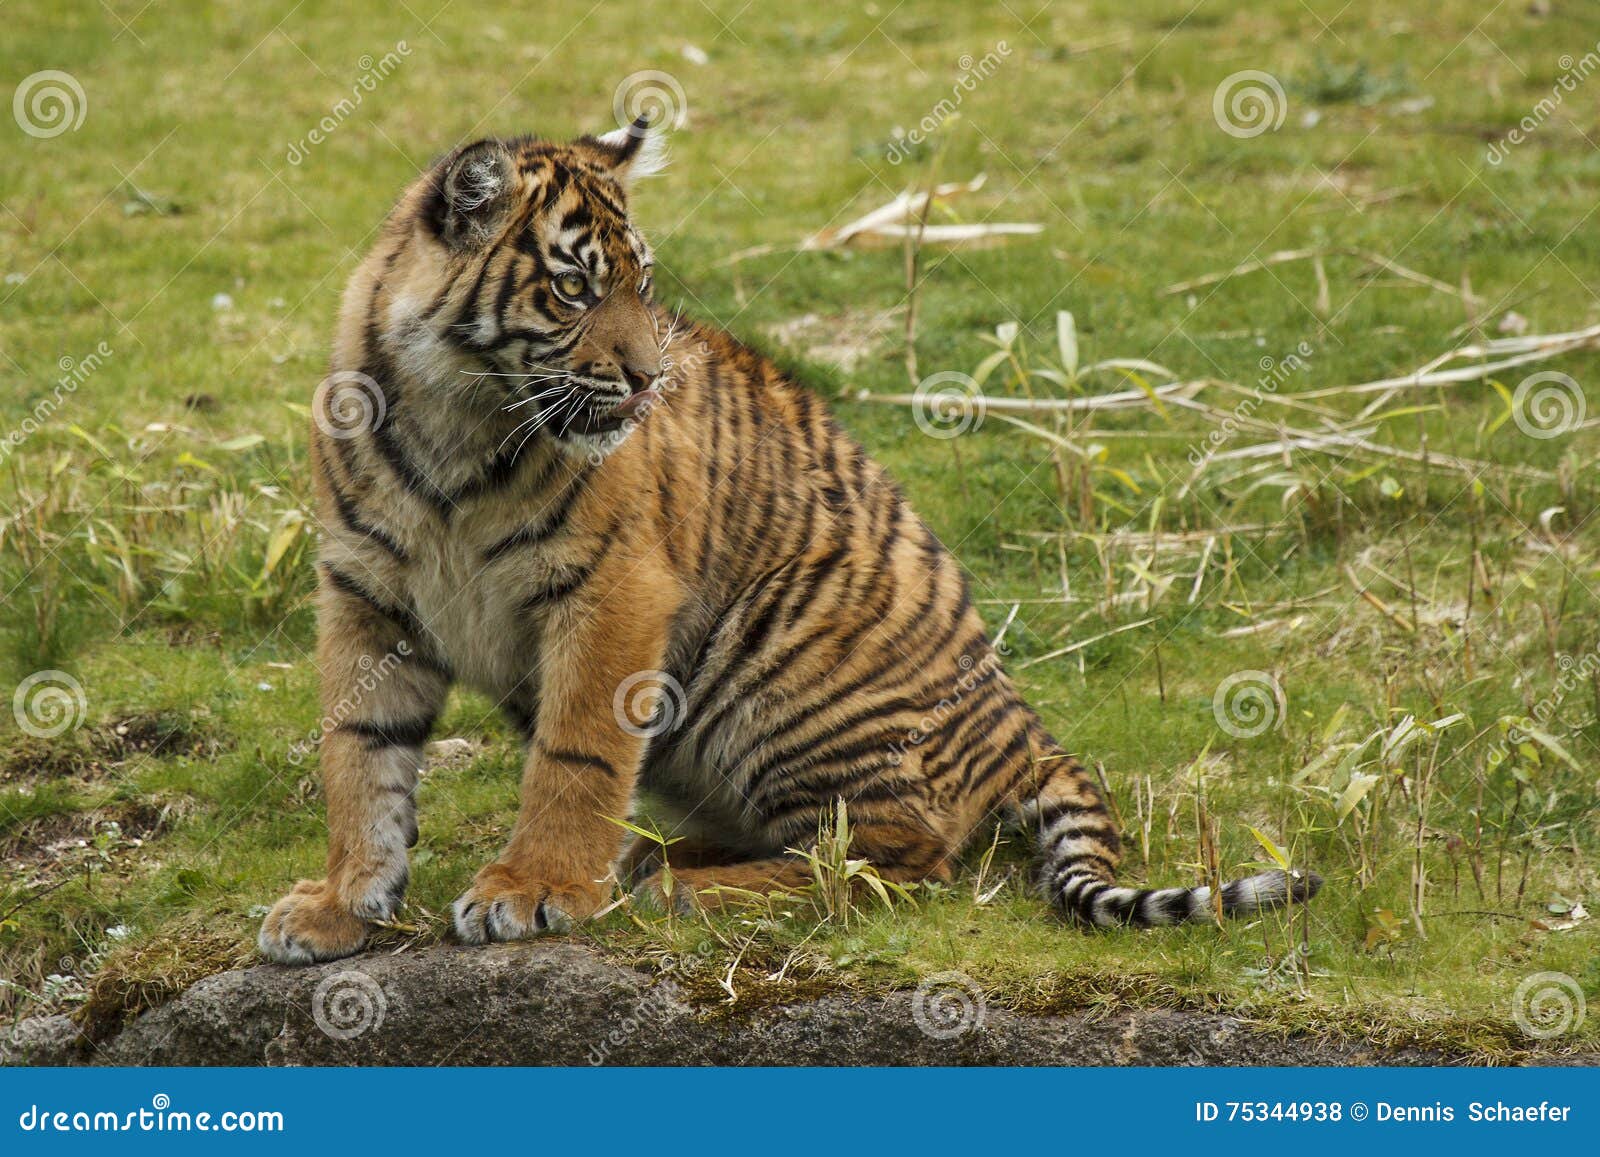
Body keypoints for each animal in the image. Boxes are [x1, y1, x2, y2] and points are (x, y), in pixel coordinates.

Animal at [257, 117, 1320, 964]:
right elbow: (359, 760)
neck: (456, 420)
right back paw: (656, 859)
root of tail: (1022, 721)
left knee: (894, 852)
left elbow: (575, 754)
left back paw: (678, 885)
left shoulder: (614, 590)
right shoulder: (365, 596)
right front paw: (340, 906)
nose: (647, 380)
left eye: (641, 285)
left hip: (776, 665)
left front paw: (535, 890)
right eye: (572, 289)